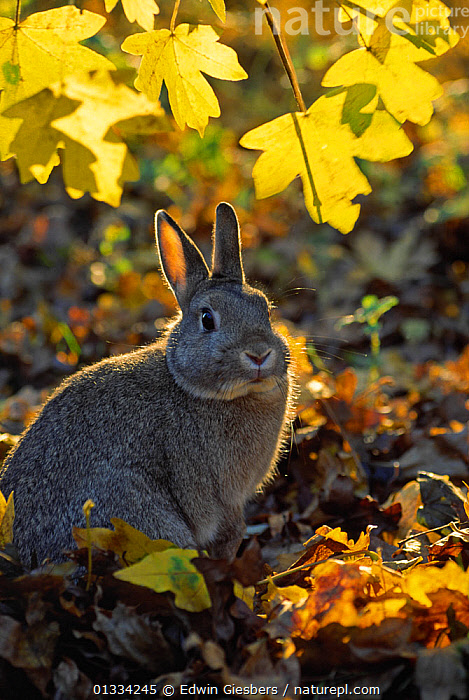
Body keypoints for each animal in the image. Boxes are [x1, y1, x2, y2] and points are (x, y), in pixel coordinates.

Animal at [0, 202, 295, 567]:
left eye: (265, 309)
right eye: (207, 319)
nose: (259, 353)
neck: (191, 386)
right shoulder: (223, 496)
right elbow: (230, 531)